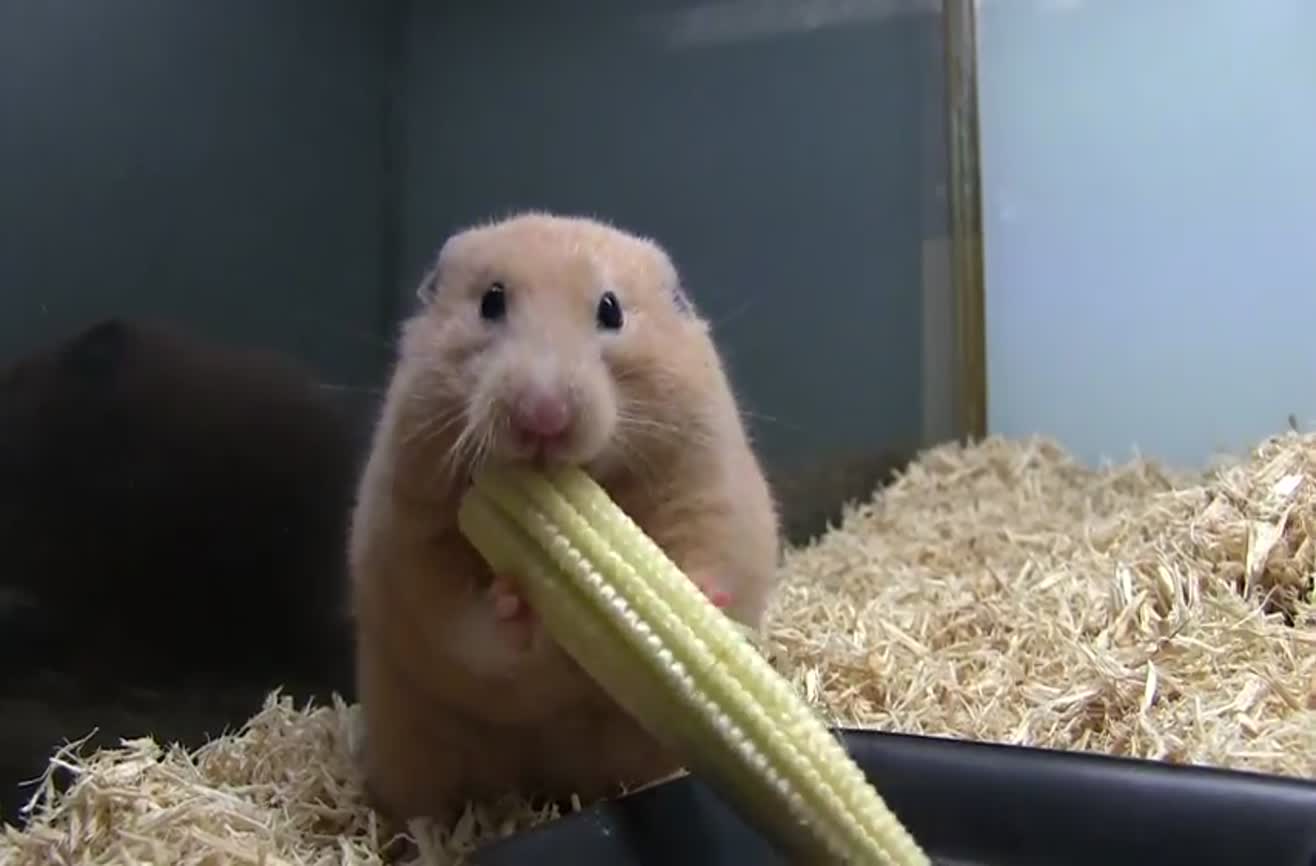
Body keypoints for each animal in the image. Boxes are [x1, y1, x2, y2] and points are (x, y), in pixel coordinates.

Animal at [348, 211, 782, 824]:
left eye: (611, 310)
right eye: (491, 301)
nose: (544, 416)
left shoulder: (707, 486)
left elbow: (708, 550)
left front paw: (698, 604)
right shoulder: (410, 529)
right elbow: (461, 617)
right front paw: (514, 601)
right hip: (410, 750)